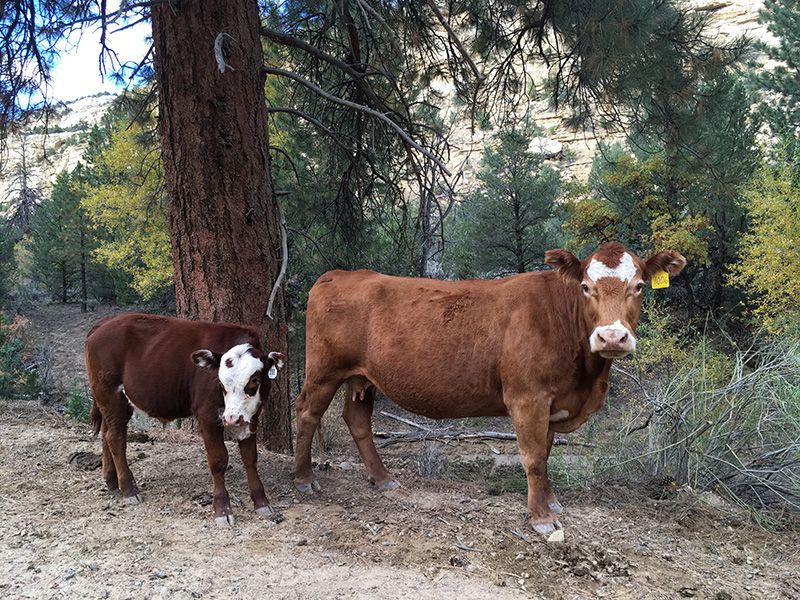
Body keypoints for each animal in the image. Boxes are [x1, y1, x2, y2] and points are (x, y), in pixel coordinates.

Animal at [85, 313, 286, 526]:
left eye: (255, 380)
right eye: (220, 382)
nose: (231, 419)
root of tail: (106, 321)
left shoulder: (251, 417)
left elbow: (250, 458)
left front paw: (261, 502)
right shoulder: (207, 416)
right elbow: (218, 460)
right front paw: (222, 509)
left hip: (114, 401)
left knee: (107, 433)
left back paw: (112, 481)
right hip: (110, 394)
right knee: (116, 438)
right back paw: (129, 490)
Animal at [292, 242, 686, 535]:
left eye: (639, 286)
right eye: (585, 287)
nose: (612, 337)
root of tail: (340, 274)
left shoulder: (551, 402)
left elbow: (546, 452)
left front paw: (551, 501)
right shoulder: (528, 397)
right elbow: (533, 457)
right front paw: (542, 518)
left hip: (363, 378)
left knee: (357, 419)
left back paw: (382, 478)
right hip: (324, 371)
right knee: (307, 413)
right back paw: (304, 479)